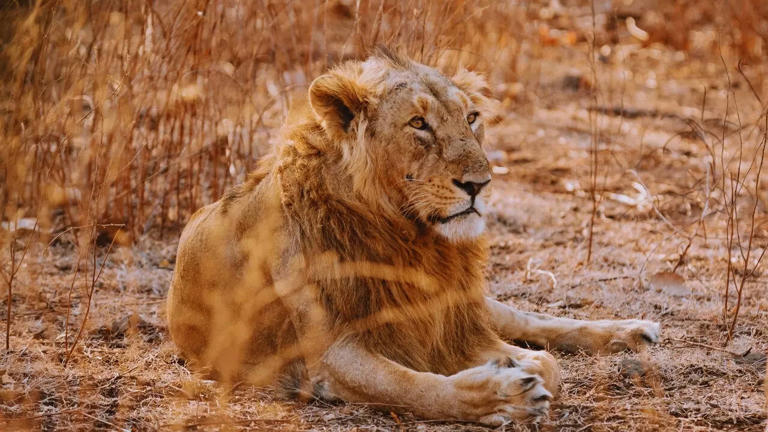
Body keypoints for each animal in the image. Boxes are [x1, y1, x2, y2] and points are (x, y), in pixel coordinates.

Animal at [166, 50, 660, 425]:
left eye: (472, 117)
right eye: (418, 123)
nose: (480, 184)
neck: (410, 238)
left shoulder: (441, 314)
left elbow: (544, 360)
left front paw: (516, 367)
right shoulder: (331, 353)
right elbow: (414, 385)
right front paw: (500, 396)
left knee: (525, 318)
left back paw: (631, 331)